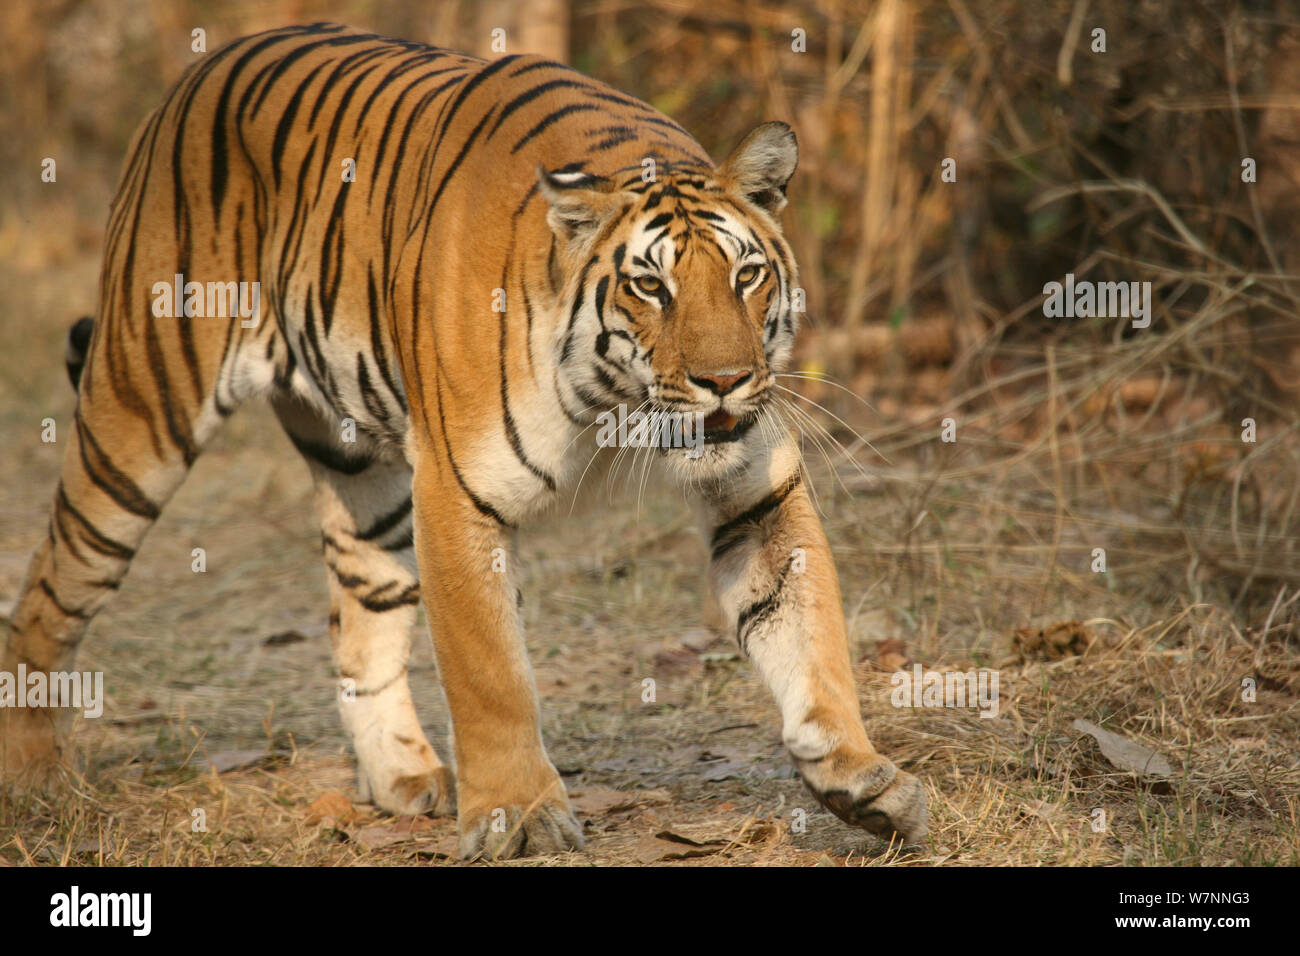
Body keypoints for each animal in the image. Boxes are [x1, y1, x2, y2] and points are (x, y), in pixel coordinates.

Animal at [0, 22, 927, 859]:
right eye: (650, 287)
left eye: (746, 275)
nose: (726, 380)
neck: (613, 405)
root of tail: (200, 69)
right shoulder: (455, 494)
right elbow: (491, 675)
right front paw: (520, 817)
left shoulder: (758, 494)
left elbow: (811, 636)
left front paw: (861, 777)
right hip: (137, 414)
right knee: (48, 591)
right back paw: (35, 781)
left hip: (362, 477)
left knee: (360, 615)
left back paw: (405, 776)